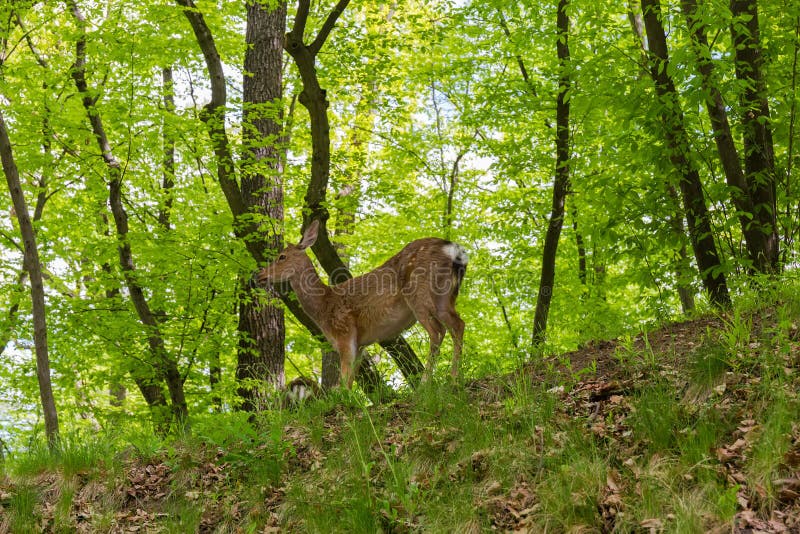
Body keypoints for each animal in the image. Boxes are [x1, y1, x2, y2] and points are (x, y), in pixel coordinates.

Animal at [256, 220, 468, 388]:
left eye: (281, 256)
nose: (260, 275)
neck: (323, 305)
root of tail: (455, 251)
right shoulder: (361, 343)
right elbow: (350, 382)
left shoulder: (344, 332)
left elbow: (342, 380)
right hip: (446, 296)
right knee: (458, 324)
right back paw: (454, 379)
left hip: (418, 293)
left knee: (437, 331)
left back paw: (427, 383)